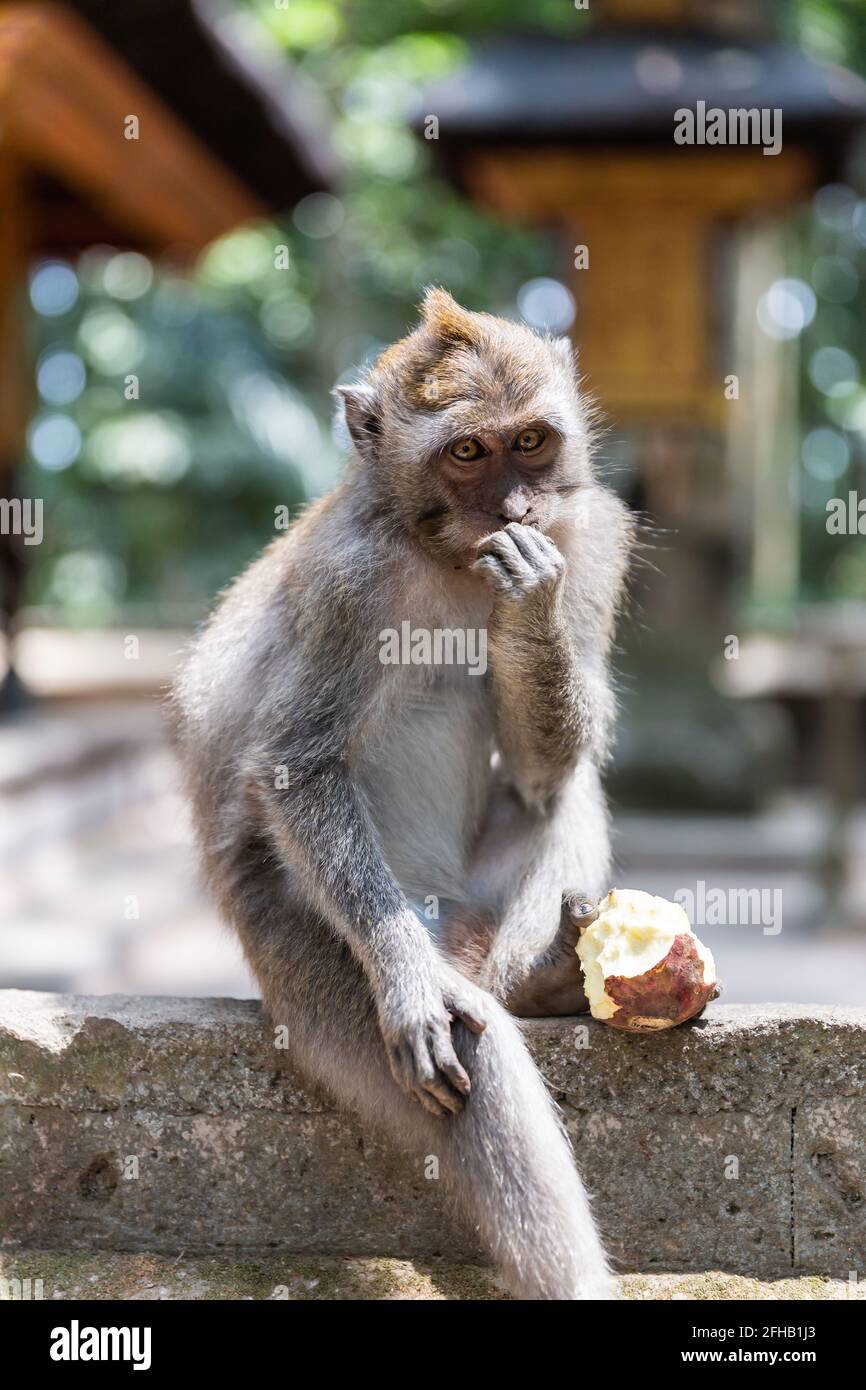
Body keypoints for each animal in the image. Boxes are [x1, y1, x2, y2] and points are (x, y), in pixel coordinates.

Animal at [171, 288, 632, 1300]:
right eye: (467, 453)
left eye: (530, 441)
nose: (517, 506)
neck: (445, 554)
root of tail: (457, 931)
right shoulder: (346, 583)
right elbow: (297, 765)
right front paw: (410, 982)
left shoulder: (592, 537)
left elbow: (545, 768)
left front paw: (531, 602)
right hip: (295, 953)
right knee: (475, 1049)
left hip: (483, 911)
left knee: (559, 795)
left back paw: (543, 974)